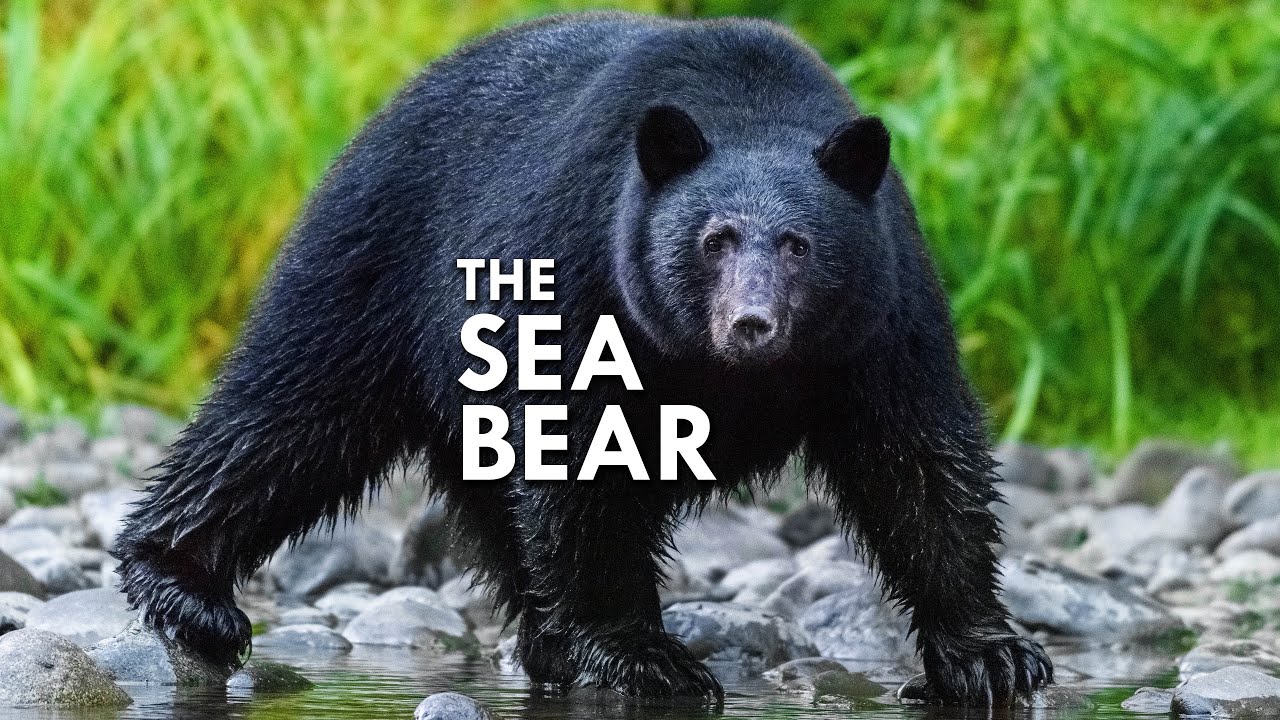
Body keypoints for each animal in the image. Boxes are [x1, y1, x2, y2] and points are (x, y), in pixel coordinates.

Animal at [114, 11, 1052, 706]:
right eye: (713, 240)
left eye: (799, 245)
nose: (751, 324)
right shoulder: (580, 270)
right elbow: (581, 450)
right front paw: (642, 655)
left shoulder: (882, 317)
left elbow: (919, 463)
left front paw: (990, 654)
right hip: (372, 260)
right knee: (285, 412)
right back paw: (183, 585)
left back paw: (545, 639)